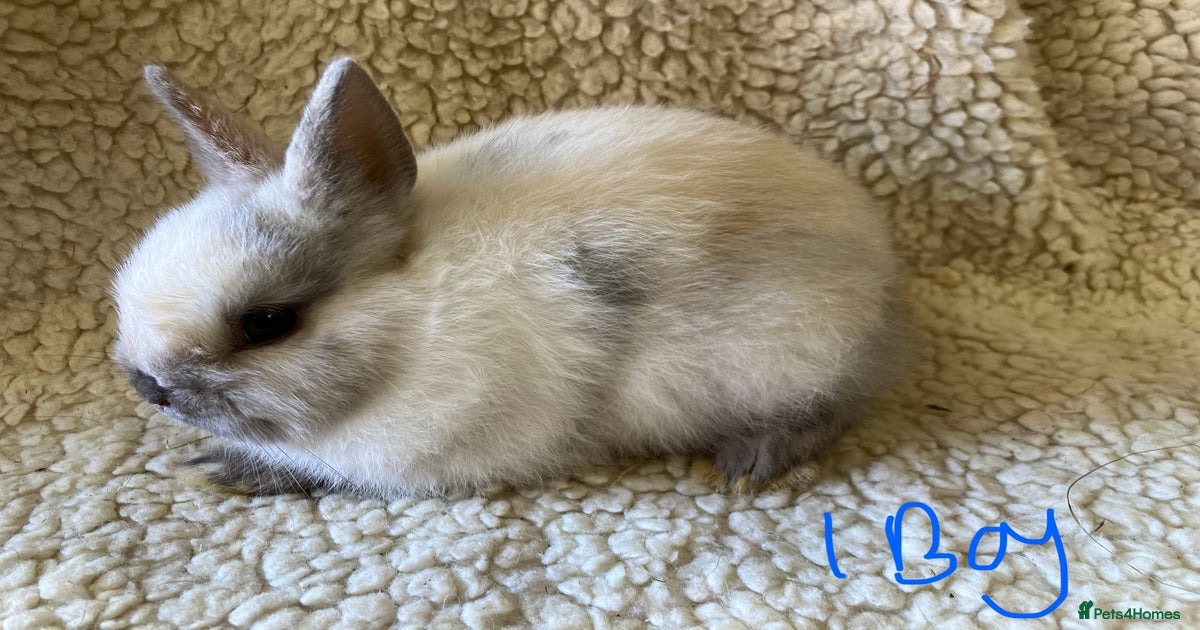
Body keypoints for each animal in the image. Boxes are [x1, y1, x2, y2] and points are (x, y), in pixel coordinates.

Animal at [113, 57, 905, 498]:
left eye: (268, 323)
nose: (149, 389)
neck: (413, 326)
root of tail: (889, 286)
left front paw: (233, 469)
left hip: (792, 352)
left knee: (831, 409)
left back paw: (745, 464)